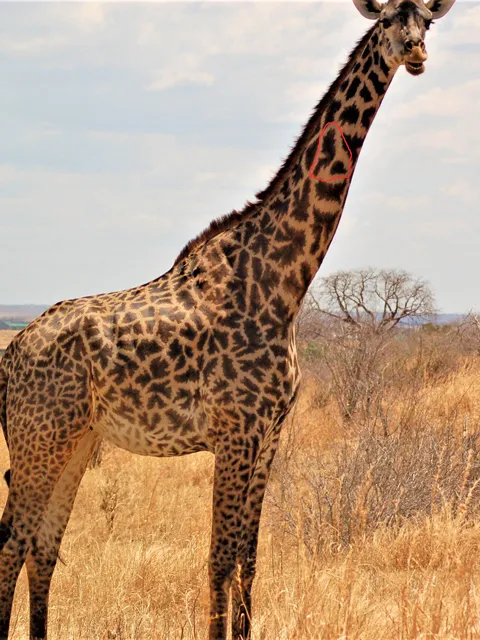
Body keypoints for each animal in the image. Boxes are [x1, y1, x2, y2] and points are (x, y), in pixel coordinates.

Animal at [0, 0, 456, 638]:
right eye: (389, 18)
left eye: (428, 22)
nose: (415, 52)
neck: (285, 279)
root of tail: (11, 353)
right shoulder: (235, 432)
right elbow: (218, 559)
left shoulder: (269, 435)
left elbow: (248, 559)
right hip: (37, 439)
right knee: (12, 545)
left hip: (73, 438)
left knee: (42, 546)